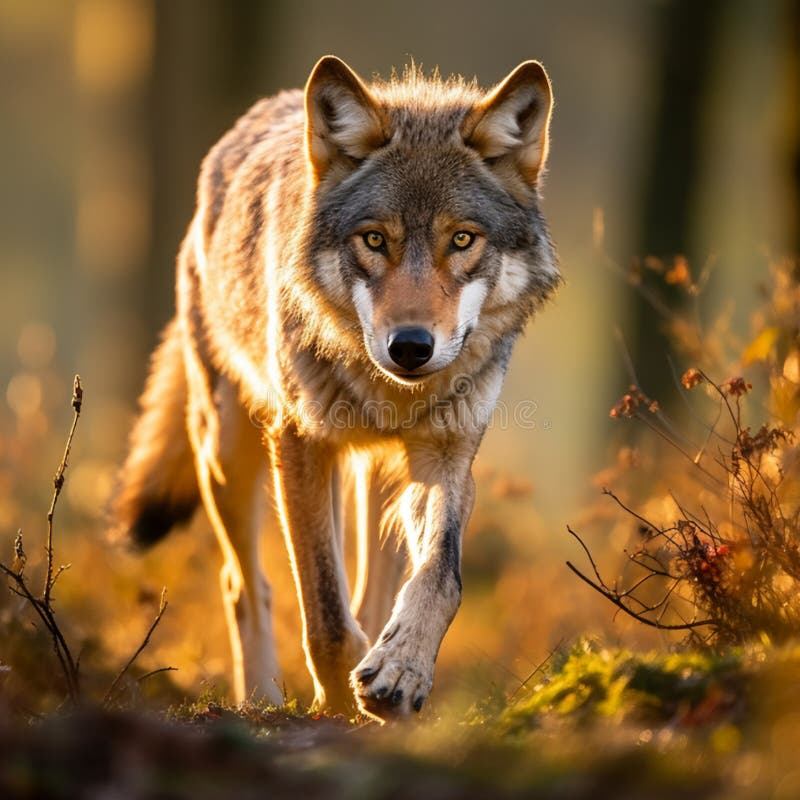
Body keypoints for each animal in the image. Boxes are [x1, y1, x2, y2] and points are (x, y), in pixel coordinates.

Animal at [111, 55, 559, 721]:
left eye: (462, 239)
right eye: (374, 239)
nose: (411, 346)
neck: (393, 394)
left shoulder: (446, 458)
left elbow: (441, 579)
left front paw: (399, 671)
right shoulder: (300, 443)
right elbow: (323, 608)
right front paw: (340, 700)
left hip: (380, 479)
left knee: (374, 588)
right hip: (225, 449)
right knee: (242, 584)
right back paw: (263, 701)